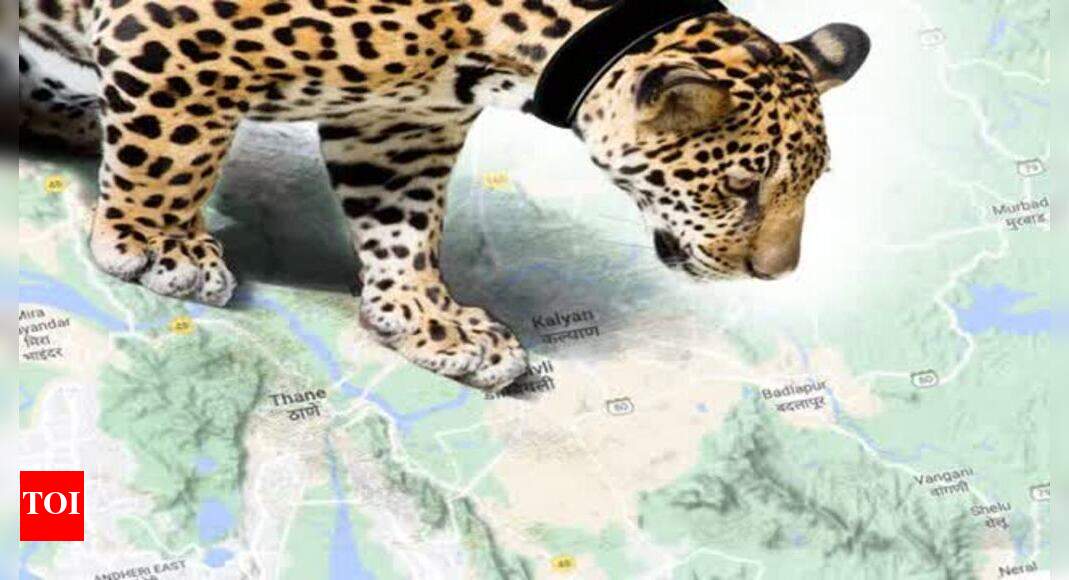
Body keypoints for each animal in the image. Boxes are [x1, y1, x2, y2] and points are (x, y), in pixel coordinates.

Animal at [18, 0, 870, 392]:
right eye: (741, 184)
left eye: (809, 185)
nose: (775, 273)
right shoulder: (174, 35)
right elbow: (177, 145)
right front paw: (160, 242)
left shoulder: (399, 127)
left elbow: (404, 228)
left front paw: (433, 321)